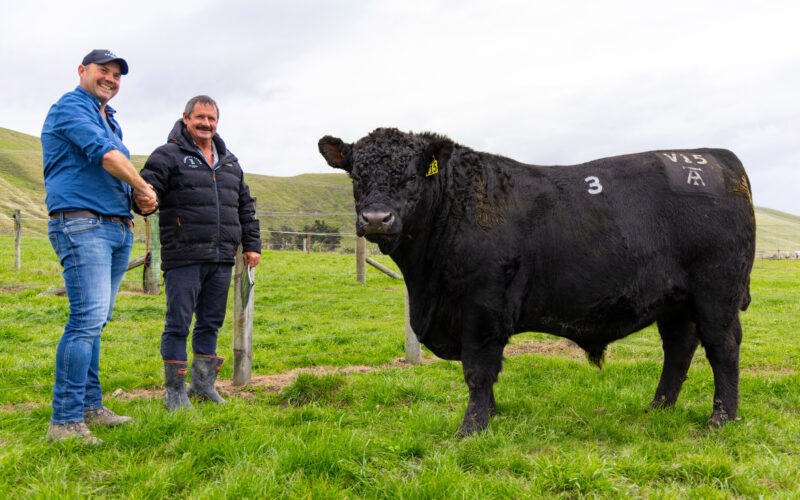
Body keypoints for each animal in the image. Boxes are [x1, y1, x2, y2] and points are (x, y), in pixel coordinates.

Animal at [318, 128, 755, 436]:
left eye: (411, 177)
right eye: (356, 177)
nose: (377, 218)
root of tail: (720, 159)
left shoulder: (482, 309)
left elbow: (478, 370)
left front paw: (472, 429)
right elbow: (485, 374)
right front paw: (492, 415)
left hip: (716, 293)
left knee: (722, 348)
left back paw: (721, 420)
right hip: (674, 301)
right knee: (679, 349)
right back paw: (658, 408)